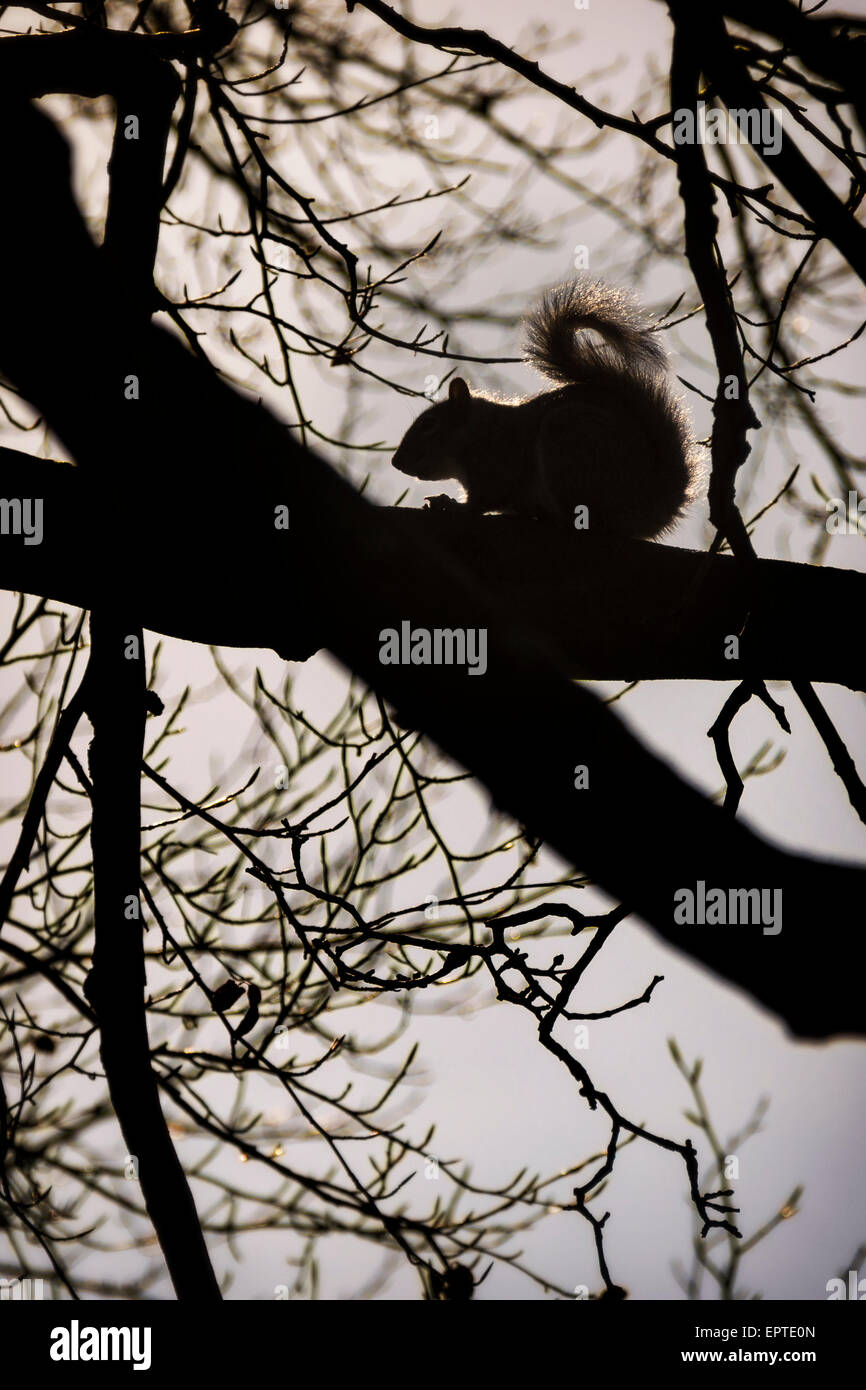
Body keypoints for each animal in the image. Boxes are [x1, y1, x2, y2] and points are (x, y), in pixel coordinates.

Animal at [391, 279, 698, 539]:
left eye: (429, 424)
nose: (395, 462)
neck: (480, 432)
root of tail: (652, 507)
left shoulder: (498, 464)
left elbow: (484, 501)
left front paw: (450, 504)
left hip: (571, 441)